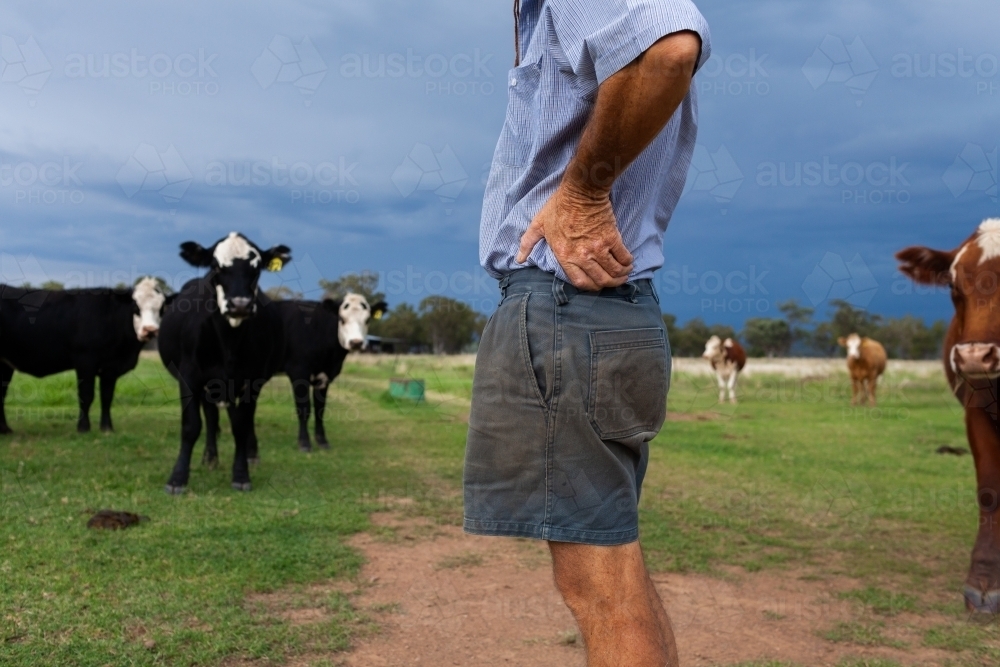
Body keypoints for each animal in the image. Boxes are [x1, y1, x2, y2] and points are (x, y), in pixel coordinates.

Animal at [0, 277, 168, 434]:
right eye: (135, 307)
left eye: (161, 309)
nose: (150, 330)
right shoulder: (85, 362)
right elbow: (86, 395)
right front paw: (83, 428)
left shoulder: (110, 367)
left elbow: (107, 397)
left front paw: (107, 428)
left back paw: (5, 429)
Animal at [157, 232, 291, 494]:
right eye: (216, 266)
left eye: (257, 268)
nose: (240, 304)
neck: (229, 340)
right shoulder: (189, 375)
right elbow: (191, 426)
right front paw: (177, 478)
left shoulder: (251, 380)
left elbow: (241, 425)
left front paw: (241, 474)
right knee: (211, 417)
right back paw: (210, 457)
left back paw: (250, 453)